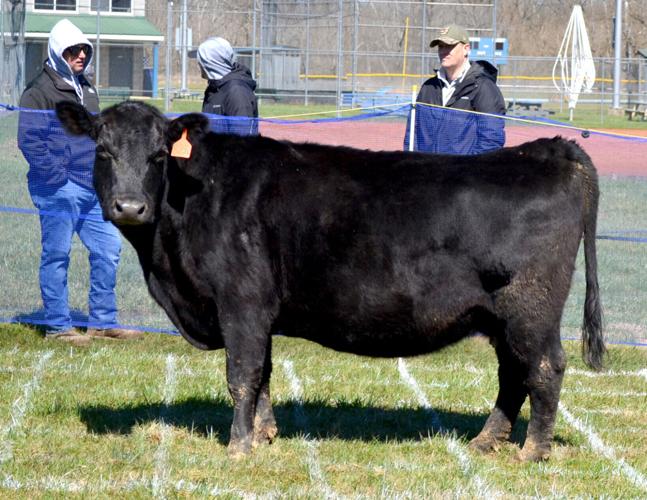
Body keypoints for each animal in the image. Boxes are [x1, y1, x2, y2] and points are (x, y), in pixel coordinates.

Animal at [55, 100, 604, 462]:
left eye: (158, 156)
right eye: (102, 151)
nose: (129, 206)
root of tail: (546, 150)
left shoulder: (241, 302)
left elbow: (242, 375)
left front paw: (238, 447)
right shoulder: (259, 312)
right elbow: (263, 374)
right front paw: (265, 434)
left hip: (529, 308)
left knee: (545, 369)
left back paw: (531, 452)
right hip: (499, 317)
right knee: (514, 373)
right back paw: (487, 441)